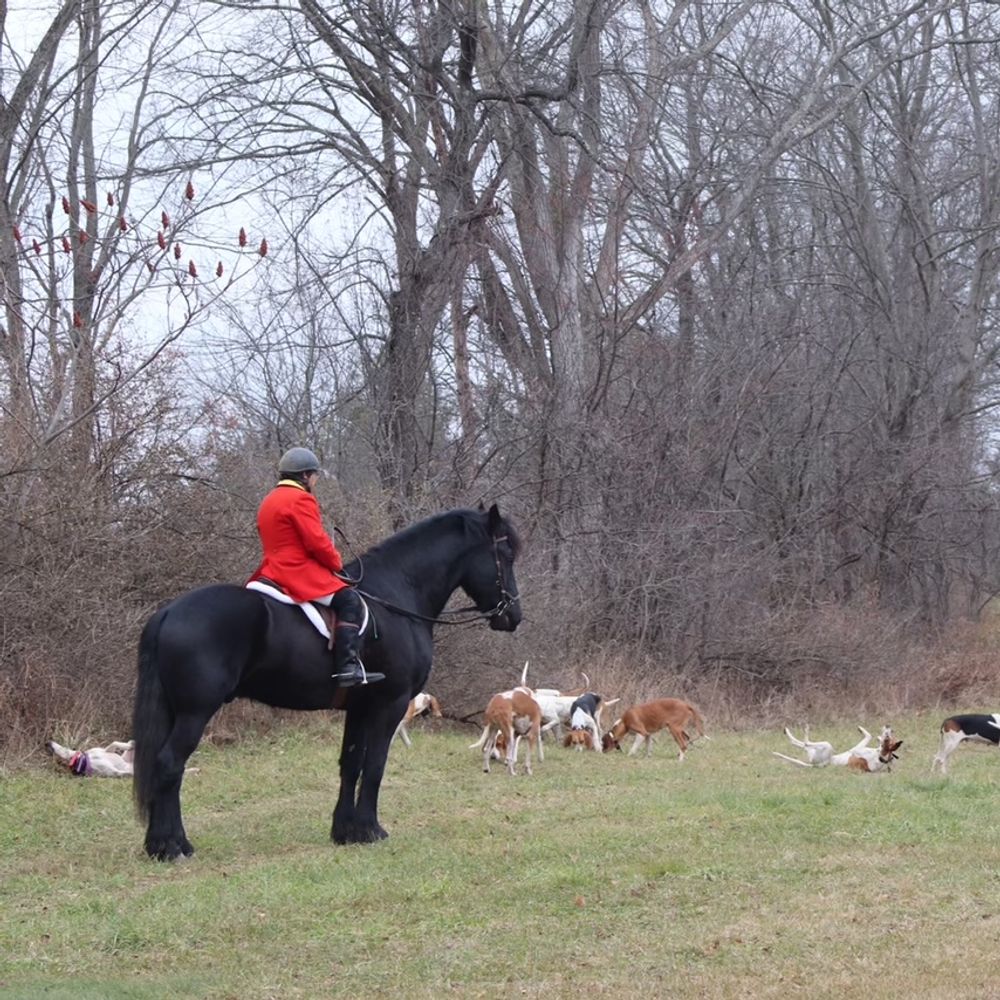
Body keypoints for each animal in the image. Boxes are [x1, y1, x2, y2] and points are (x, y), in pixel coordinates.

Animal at [133, 503, 521, 860]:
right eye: (505, 555)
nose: (513, 616)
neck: (397, 595)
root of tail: (168, 612)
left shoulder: (360, 707)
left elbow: (350, 763)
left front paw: (345, 832)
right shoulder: (389, 703)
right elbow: (375, 765)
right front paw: (370, 830)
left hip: (176, 710)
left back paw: (159, 844)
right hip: (195, 712)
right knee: (169, 764)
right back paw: (173, 847)